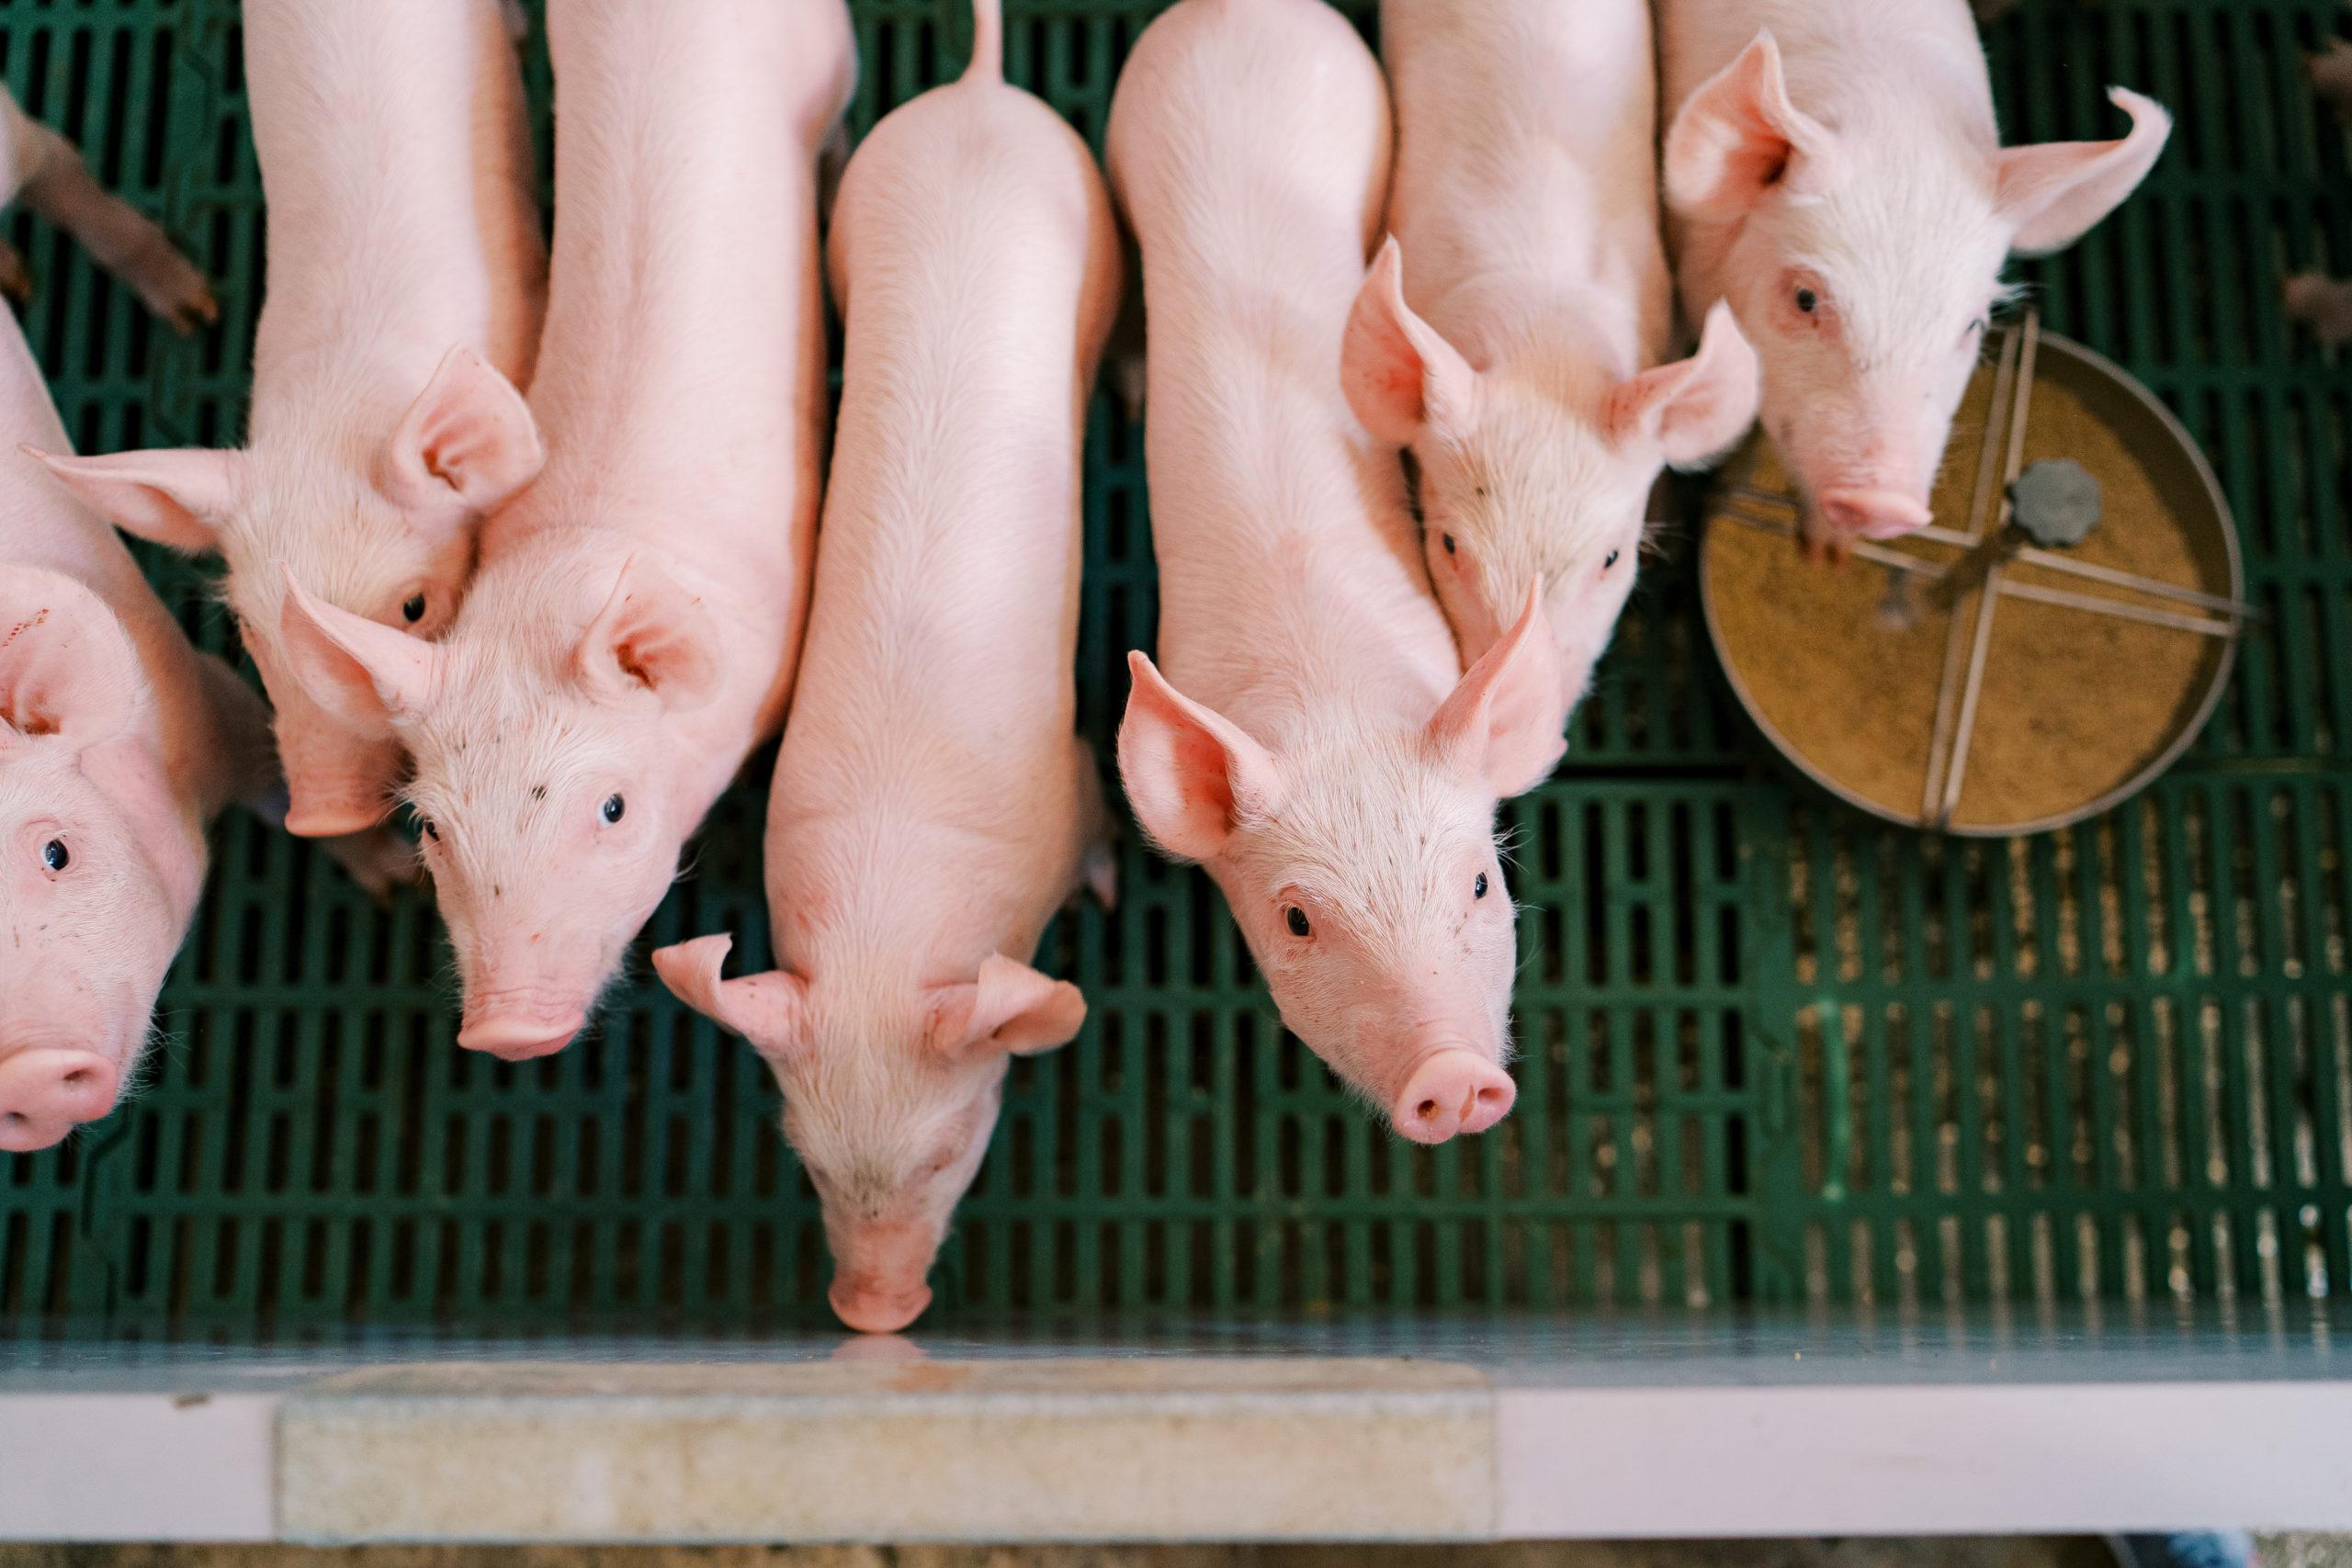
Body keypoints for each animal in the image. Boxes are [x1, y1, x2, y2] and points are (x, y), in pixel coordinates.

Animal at [654, 0, 1120, 1336]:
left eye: (951, 1148)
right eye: (802, 1155)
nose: (870, 1314)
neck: (886, 894)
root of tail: (977, 92)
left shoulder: (1071, 779)